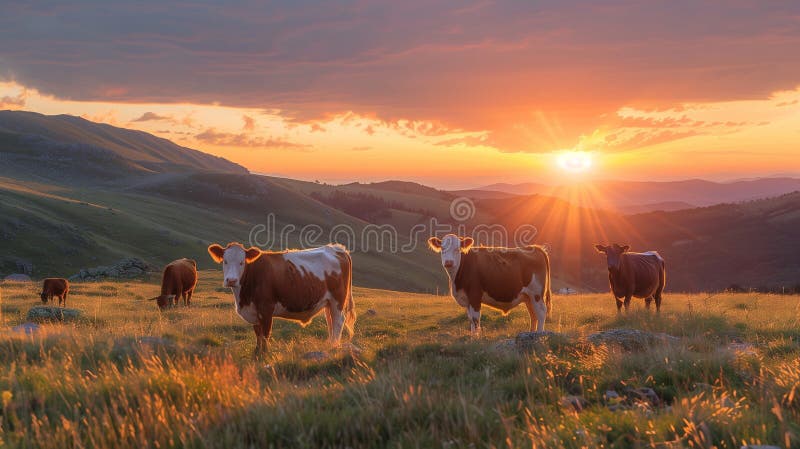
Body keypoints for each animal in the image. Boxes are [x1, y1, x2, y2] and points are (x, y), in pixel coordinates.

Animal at [207, 242, 356, 354]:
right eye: (225, 261)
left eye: (241, 262)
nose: (231, 280)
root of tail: (336, 248)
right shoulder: (254, 311)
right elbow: (258, 333)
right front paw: (257, 353)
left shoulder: (266, 308)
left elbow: (265, 334)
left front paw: (264, 354)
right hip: (328, 302)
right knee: (330, 321)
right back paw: (330, 343)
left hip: (338, 299)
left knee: (338, 321)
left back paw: (333, 346)